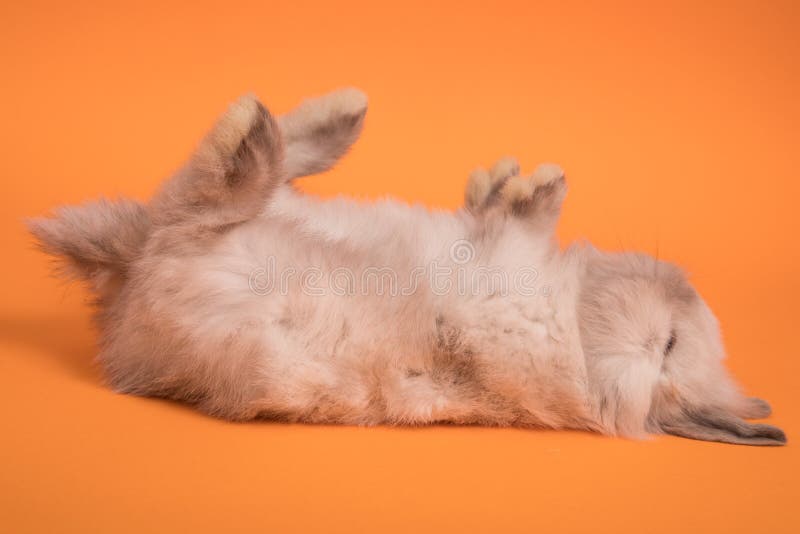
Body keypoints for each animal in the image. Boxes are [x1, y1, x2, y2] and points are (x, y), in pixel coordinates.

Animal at [28, 88, 786, 446]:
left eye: (668, 349)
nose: (679, 281)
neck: (577, 332)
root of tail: (120, 282)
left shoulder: (498, 305)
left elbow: (510, 237)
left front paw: (525, 188)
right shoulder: (493, 255)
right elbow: (507, 216)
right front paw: (517, 180)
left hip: (197, 278)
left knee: (200, 205)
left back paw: (250, 135)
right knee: (238, 189)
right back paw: (335, 114)